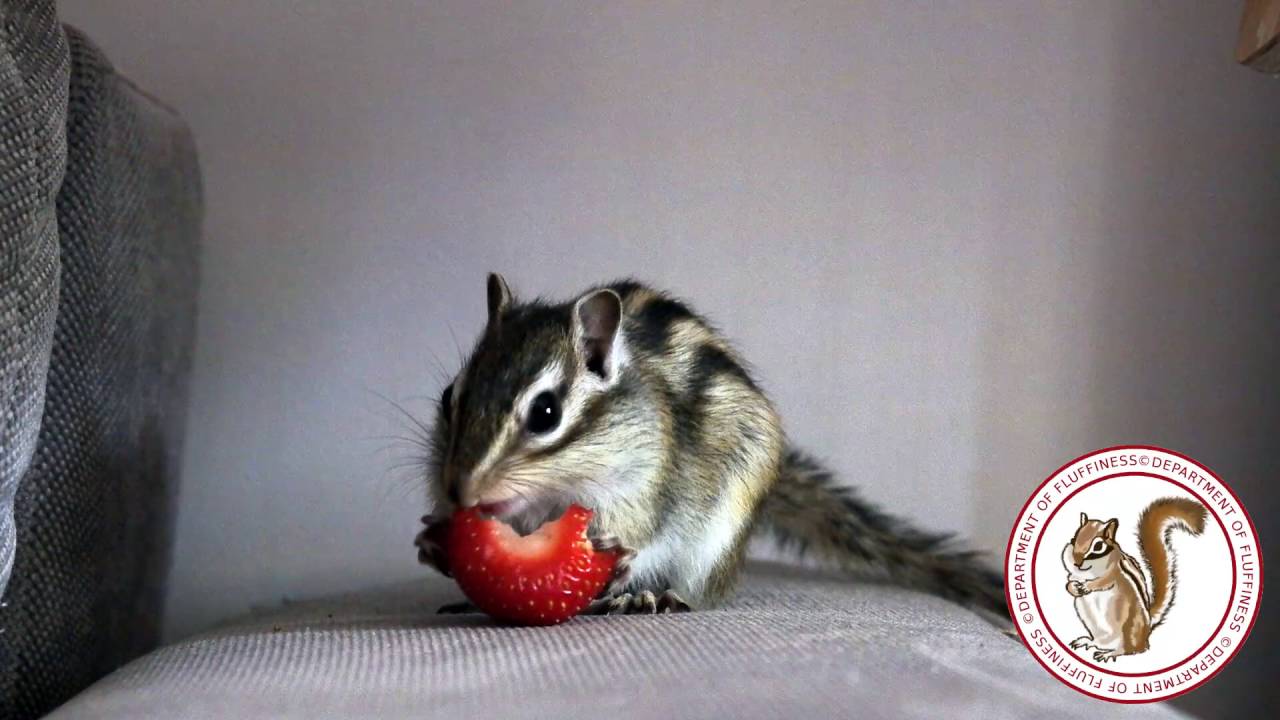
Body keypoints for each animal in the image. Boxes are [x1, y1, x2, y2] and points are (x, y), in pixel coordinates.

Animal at [414, 274, 1007, 617]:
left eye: (545, 414)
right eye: (449, 398)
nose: (462, 492)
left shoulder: (644, 486)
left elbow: (642, 530)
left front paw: (624, 561)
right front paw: (433, 544)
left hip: (719, 538)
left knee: (699, 588)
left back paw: (650, 594)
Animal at [1061, 497, 1207, 662]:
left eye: (1098, 546)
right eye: (1074, 539)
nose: (1076, 562)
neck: (1087, 573)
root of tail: (1148, 625)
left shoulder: (1113, 573)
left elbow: (1103, 582)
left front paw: (1087, 587)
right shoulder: (1073, 575)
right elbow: (1069, 582)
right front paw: (1073, 588)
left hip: (1129, 628)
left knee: (1132, 649)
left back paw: (1110, 653)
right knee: (1099, 642)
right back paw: (1087, 641)